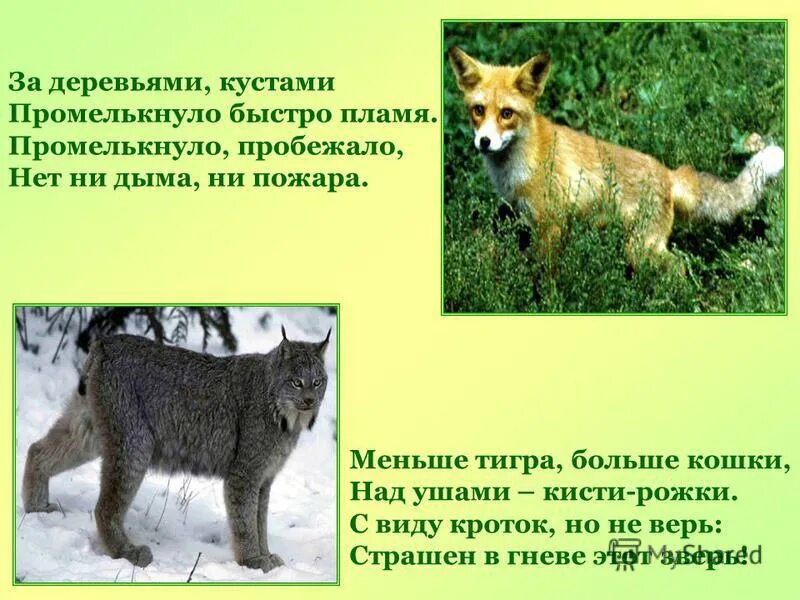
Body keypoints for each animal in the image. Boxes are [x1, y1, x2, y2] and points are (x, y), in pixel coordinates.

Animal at [447, 47, 785, 268]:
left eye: (507, 114)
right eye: (478, 111)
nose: (484, 142)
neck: (519, 164)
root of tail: (668, 174)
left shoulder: (552, 224)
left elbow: (544, 275)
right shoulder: (533, 223)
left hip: (641, 249)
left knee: (679, 268)